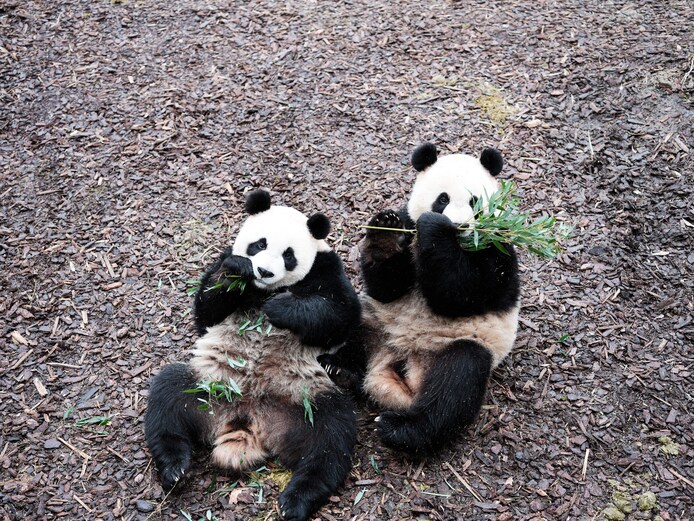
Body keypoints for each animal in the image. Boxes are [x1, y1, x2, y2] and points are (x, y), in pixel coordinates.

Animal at [145, 190, 361, 521]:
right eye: (259, 244)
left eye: (288, 255)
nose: (264, 272)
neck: (262, 290)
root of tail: (247, 419)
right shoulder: (222, 262)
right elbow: (207, 309)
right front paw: (235, 273)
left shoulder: (327, 269)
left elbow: (338, 312)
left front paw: (281, 308)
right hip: (208, 385)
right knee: (168, 396)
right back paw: (175, 468)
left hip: (303, 400)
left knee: (331, 439)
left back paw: (296, 500)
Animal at [320, 143, 520, 455]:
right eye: (442, 199)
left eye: (475, 202)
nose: (458, 226)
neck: (461, 245)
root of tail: (402, 367)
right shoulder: (409, 226)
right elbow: (387, 287)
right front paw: (385, 235)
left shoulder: (496, 244)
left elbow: (462, 294)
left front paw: (436, 230)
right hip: (379, 322)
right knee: (358, 328)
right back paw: (340, 369)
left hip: (461, 344)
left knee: (456, 382)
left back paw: (403, 430)